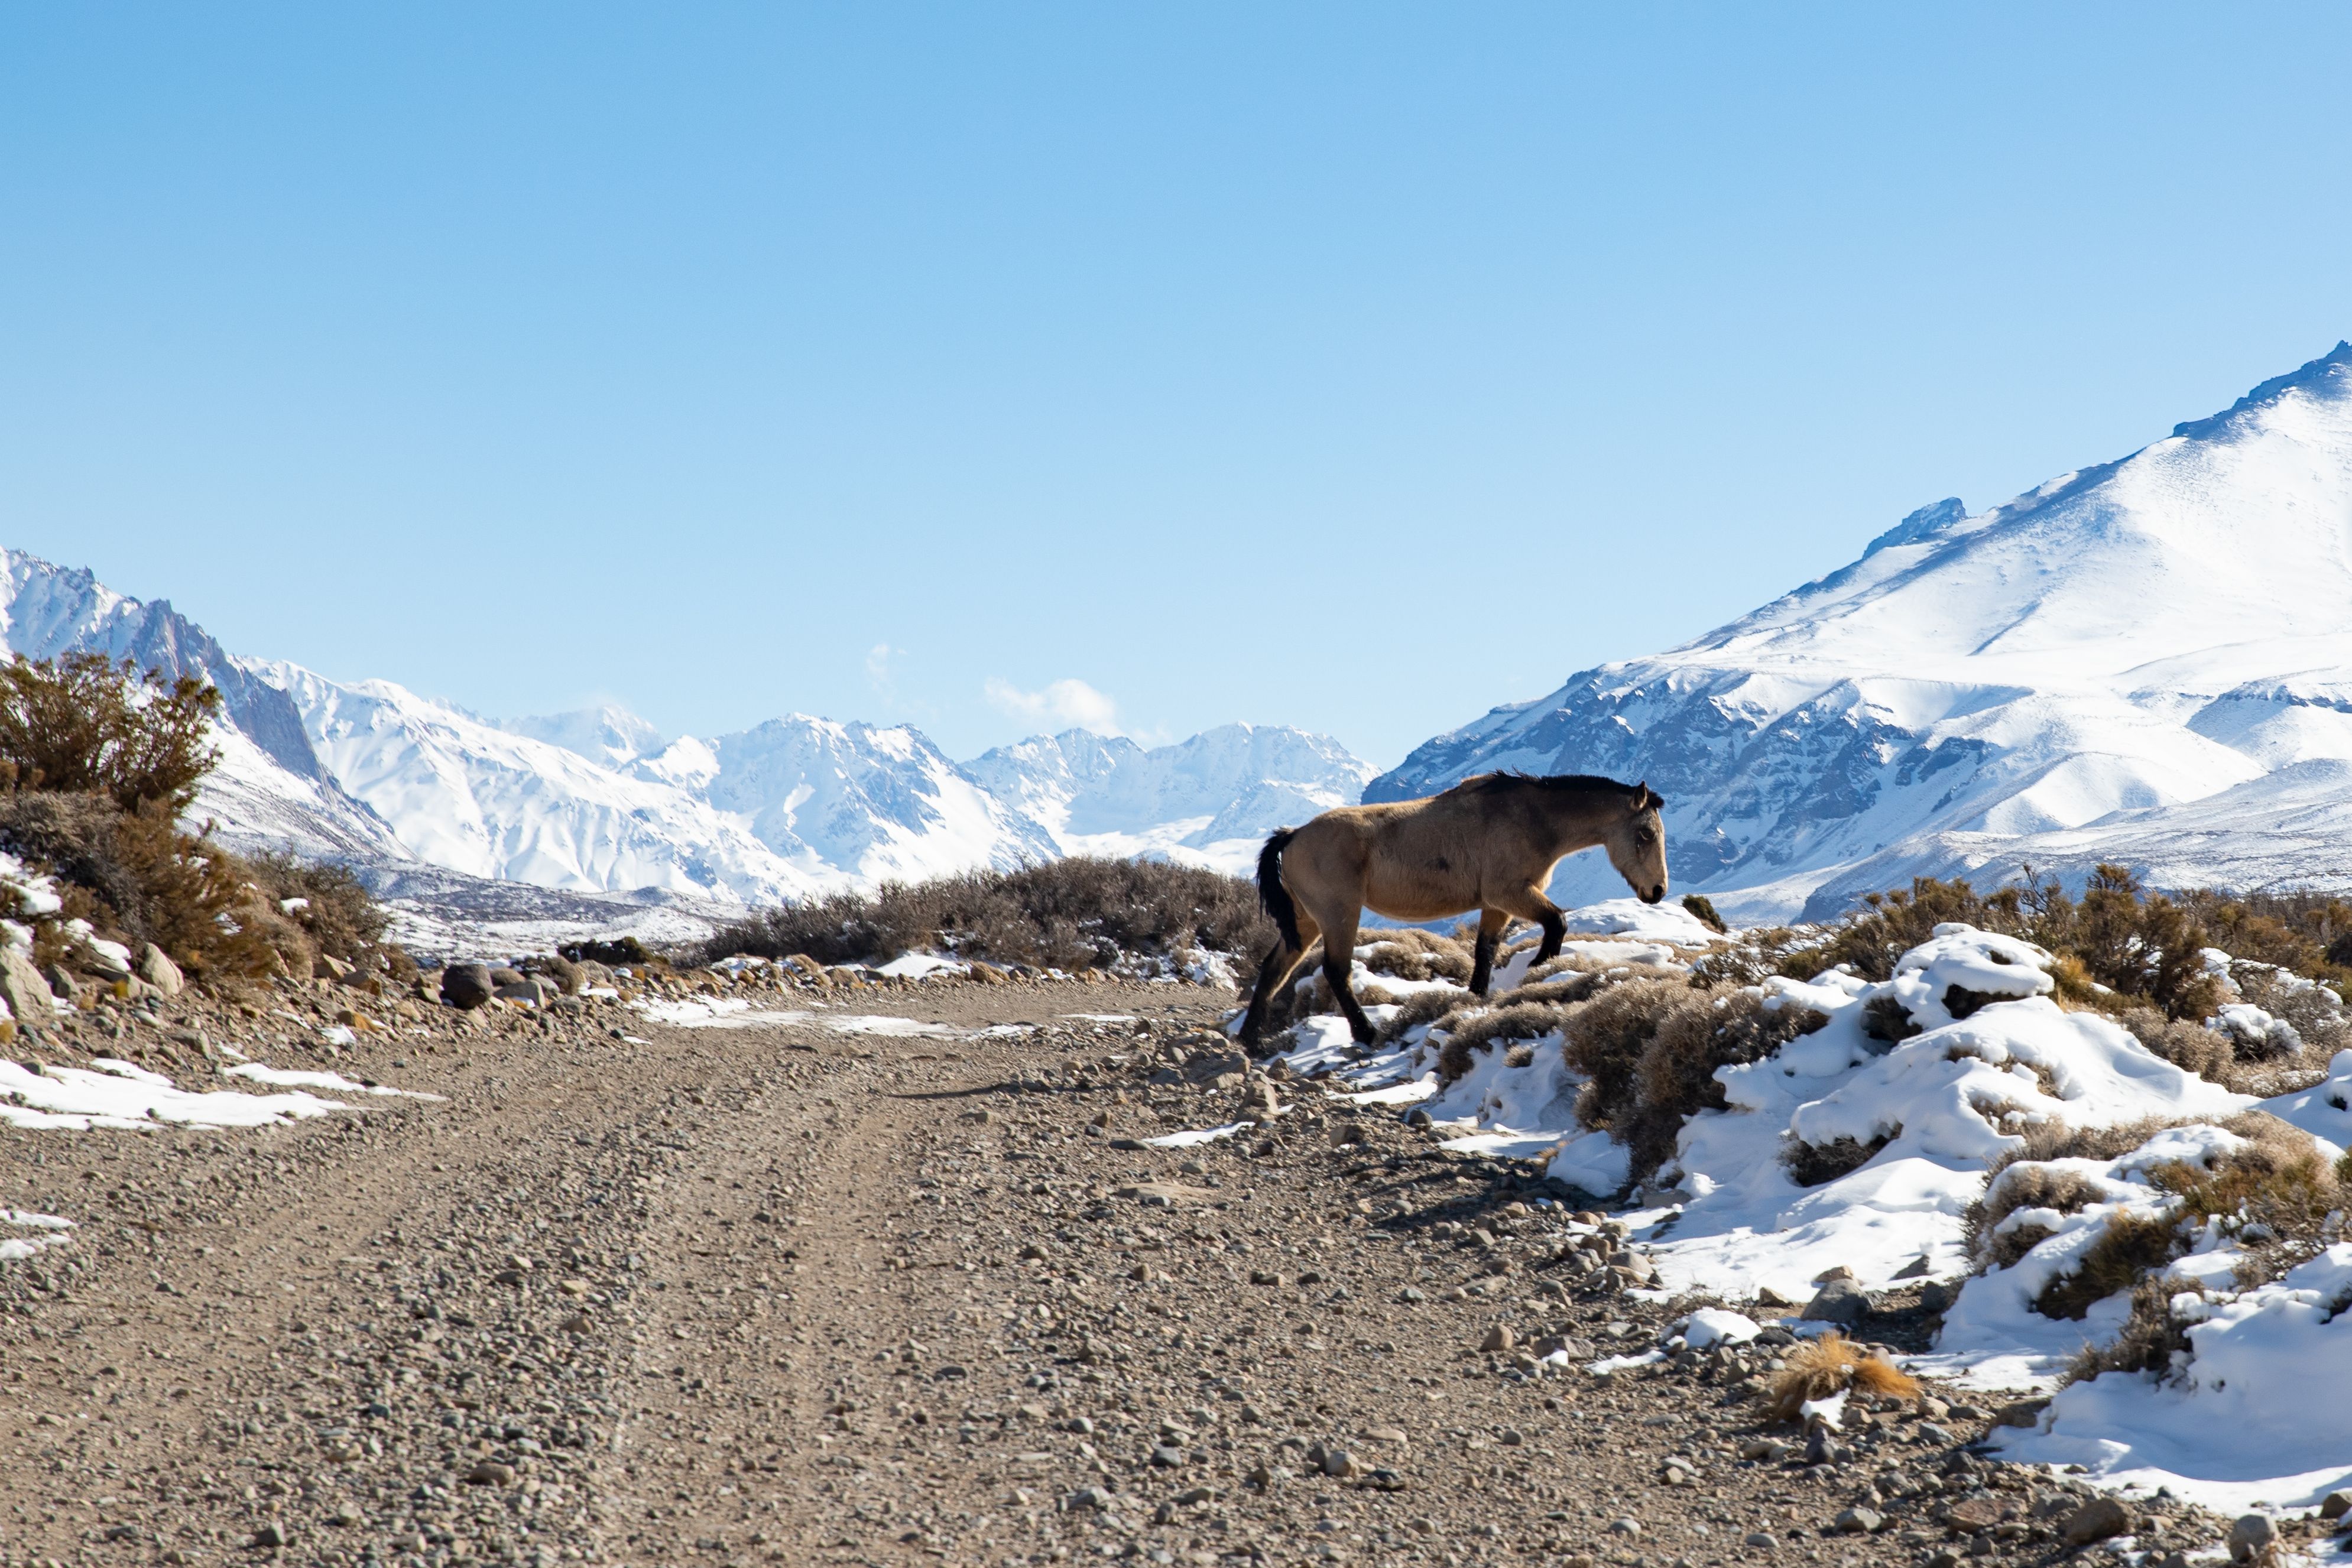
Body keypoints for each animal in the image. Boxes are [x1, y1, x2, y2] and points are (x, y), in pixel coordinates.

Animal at [1235, 772, 1669, 1050]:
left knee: (1274, 969)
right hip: (1338, 915)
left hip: (1305, 921)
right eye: (1645, 834)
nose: (1657, 891)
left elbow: (1485, 952)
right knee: (1336, 971)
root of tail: (1294, 835)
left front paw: (1474, 1001)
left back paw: (1250, 1039)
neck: (1533, 818)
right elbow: (1556, 923)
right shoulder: (1510, 893)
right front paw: (1537, 968)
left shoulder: (1496, 905)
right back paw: (1366, 1033)